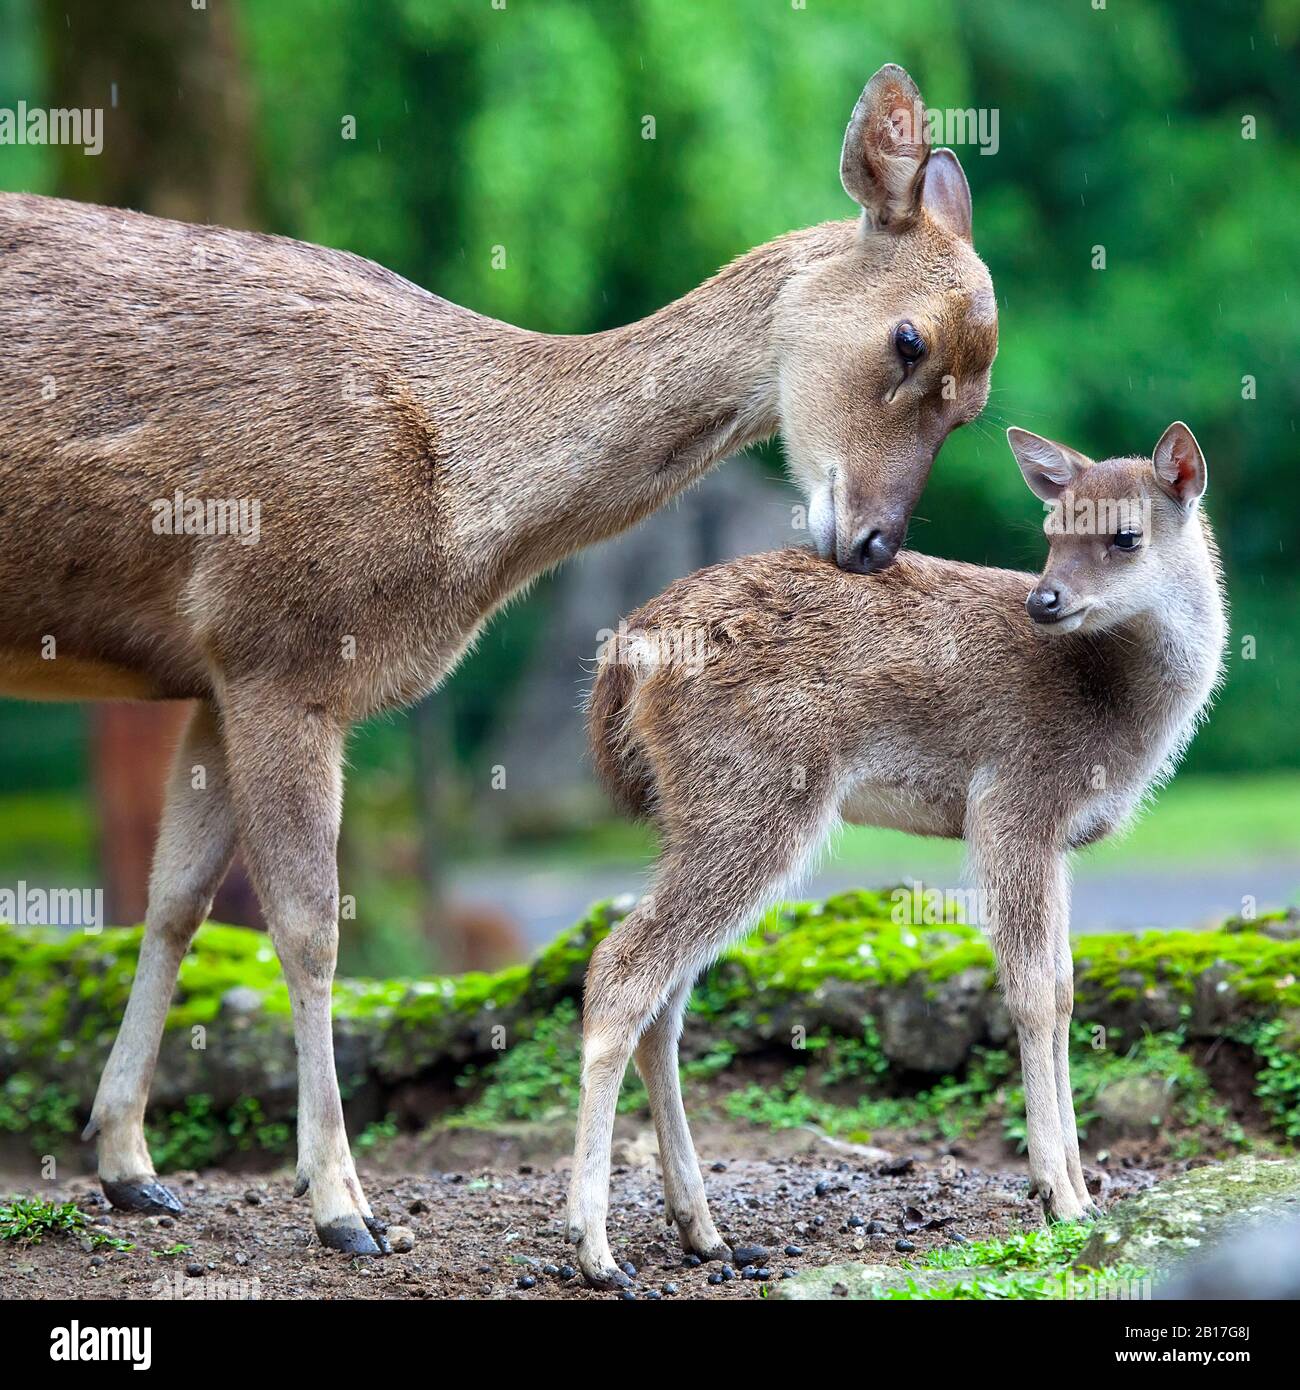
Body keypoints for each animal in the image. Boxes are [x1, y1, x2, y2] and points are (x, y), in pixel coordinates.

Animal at [0, 63, 997, 1256]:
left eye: (977, 402)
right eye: (909, 341)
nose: (876, 545)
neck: (455, 483)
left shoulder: (213, 671)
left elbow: (175, 901)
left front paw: (130, 1165)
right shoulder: (282, 643)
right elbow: (309, 923)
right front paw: (346, 1207)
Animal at [573, 422, 1226, 1288]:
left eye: (1125, 535)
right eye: (1051, 531)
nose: (1045, 599)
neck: (1118, 712)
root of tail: (627, 657)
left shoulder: (1055, 838)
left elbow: (1063, 989)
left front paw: (1087, 1192)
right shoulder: (1013, 800)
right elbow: (1029, 994)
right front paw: (1059, 1197)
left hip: (699, 813)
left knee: (665, 997)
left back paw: (702, 1230)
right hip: (753, 793)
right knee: (623, 968)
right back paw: (596, 1250)